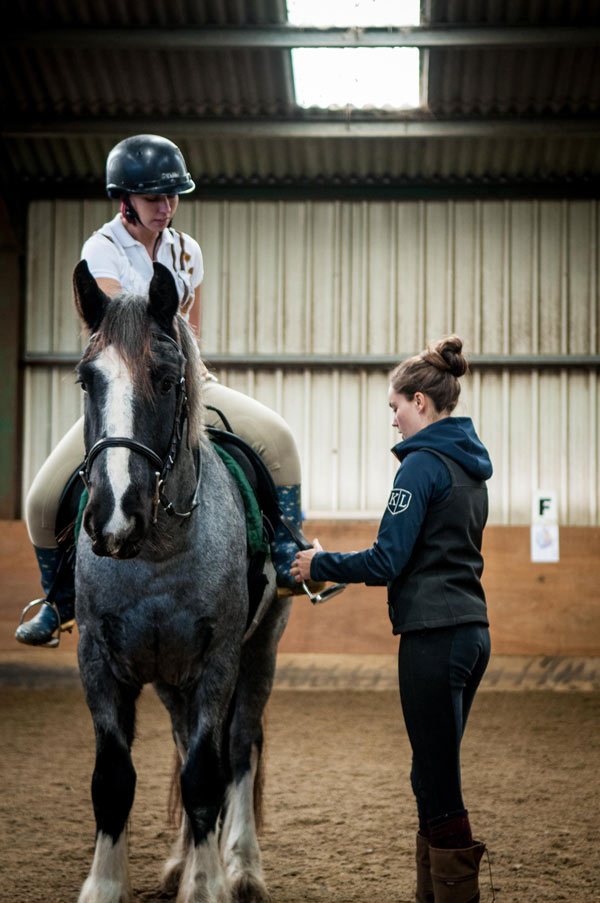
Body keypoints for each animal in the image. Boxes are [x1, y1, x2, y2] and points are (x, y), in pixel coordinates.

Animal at [72, 259, 291, 903]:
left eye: (168, 380)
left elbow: (204, 776)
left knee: (237, 749)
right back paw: (181, 861)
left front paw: (210, 885)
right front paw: (106, 885)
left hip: (258, 655)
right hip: (171, 676)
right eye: (86, 381)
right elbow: (114, 779)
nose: (115, 516)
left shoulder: (219, 661)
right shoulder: (97, 659)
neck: (156, 557)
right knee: (182, 739)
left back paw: (240, 865)